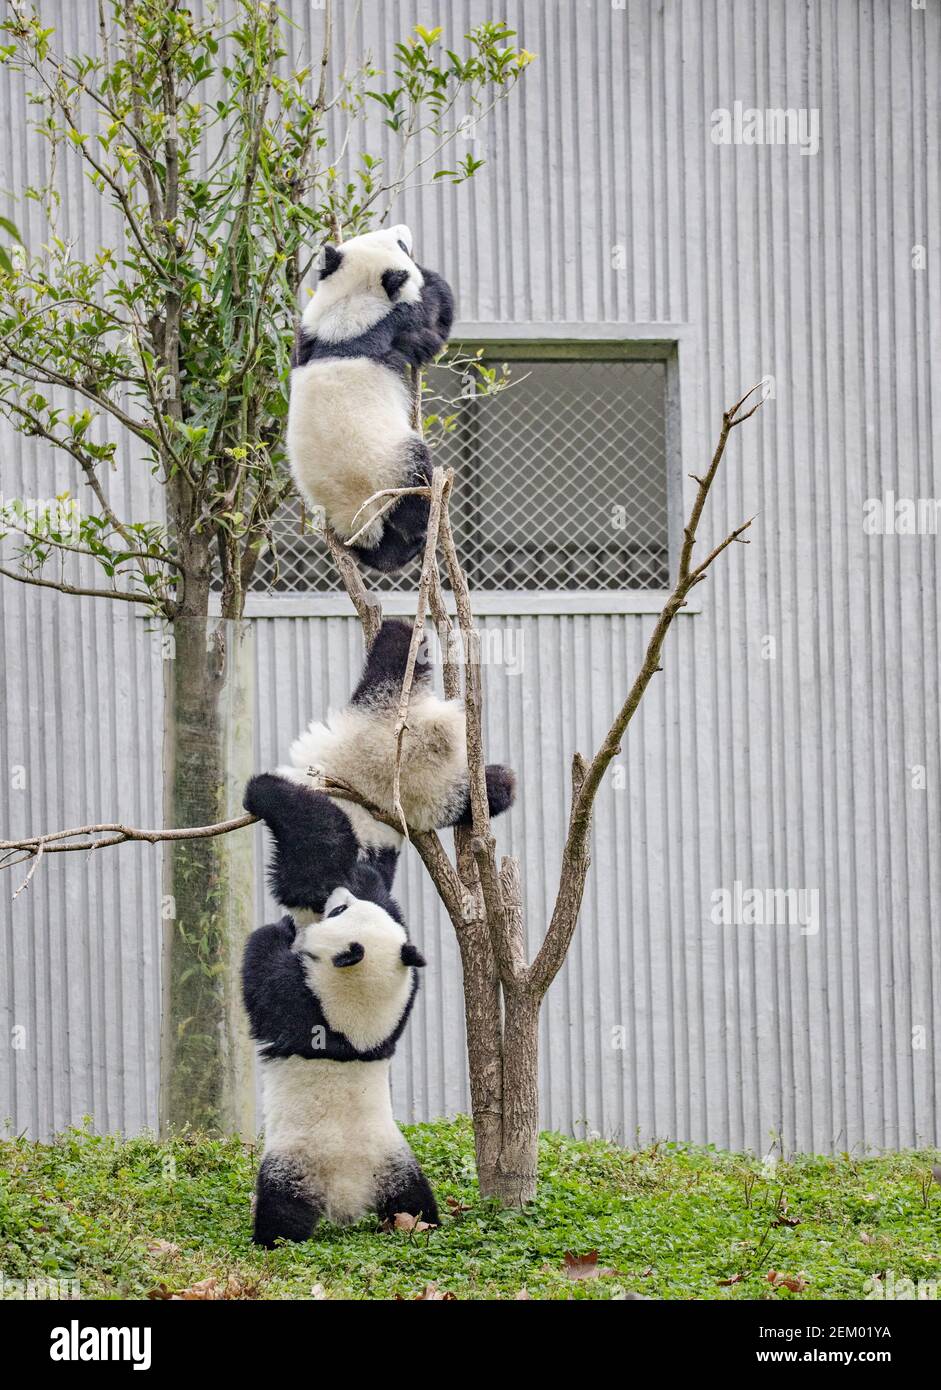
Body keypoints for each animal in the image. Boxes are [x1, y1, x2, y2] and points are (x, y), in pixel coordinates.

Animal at [242, 884, 437, 1246]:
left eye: (338, 911)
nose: (339, 890)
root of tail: (348, 1193)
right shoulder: (393, 1018)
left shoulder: (307, 1005)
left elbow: (263, 979)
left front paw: (280, 927)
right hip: (396, 1163)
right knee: (414, 1198)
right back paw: (426, 1224)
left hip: (293, 1164)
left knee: (283, 1211)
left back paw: (269, 1240)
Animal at [288, 224, 454, 574]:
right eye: (400, 244)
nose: (404, 228)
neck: (349, 301)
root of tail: (359, 524)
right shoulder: (396, 325)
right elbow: (434, 322)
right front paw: (427, 277)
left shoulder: (305, 337)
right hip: (389, 467)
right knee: (412, 490)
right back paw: (412, 538)